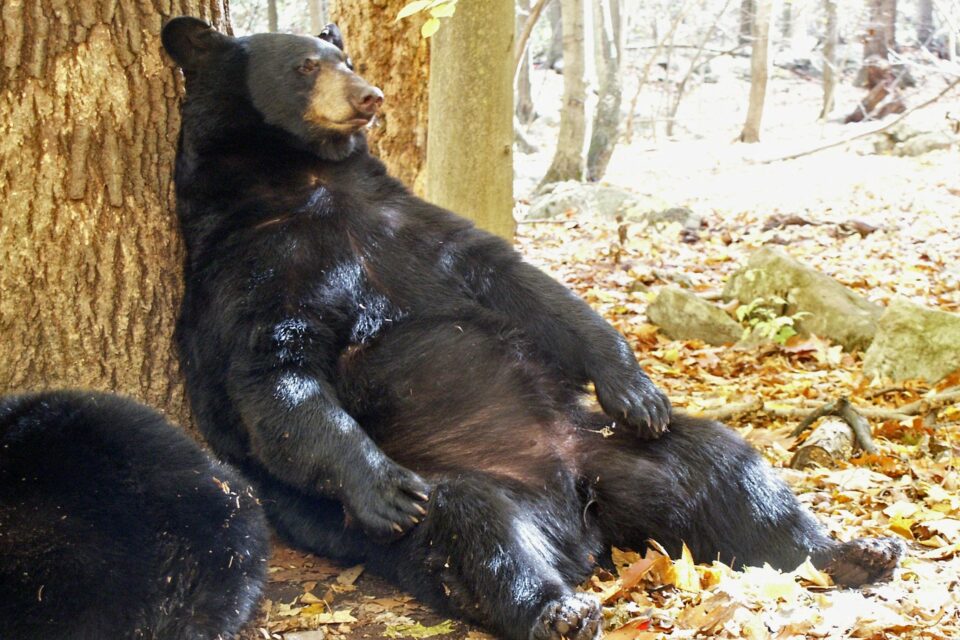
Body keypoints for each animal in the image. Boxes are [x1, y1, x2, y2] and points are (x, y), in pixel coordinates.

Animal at [161, 17, 902, 640]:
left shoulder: (406, 222)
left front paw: (634, 388)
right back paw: (558, 608)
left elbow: (520, 285)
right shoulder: (256, 265)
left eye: (346, 58)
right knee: (478, 528)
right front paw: (382, 486)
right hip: (469, 485)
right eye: (305, 66)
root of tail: (580, 519)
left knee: (729, 474)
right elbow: (277, 374)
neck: (309, 180)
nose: (369, 95)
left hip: (613, 448)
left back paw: (853, 549)